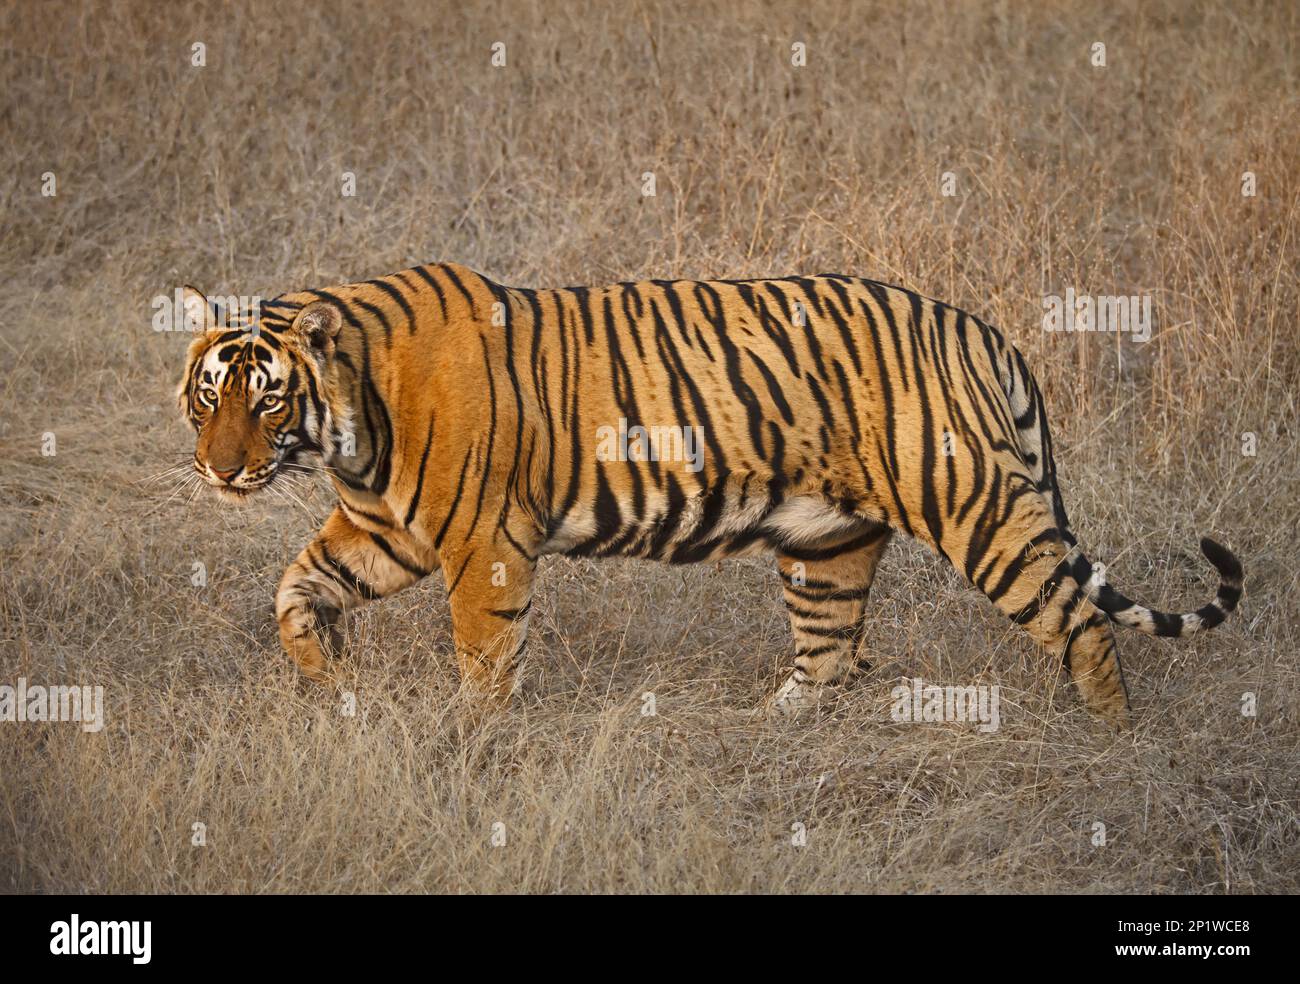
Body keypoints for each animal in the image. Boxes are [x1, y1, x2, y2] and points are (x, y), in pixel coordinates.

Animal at [176, 263, 1242, 725]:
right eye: (209, 394)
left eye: (268, 399)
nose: (222, 470)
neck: (347, 427)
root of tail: (980, 327)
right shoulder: (384, 530)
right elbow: (292, 591)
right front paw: (327, 675)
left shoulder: (480, 543)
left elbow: (483, 655)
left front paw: (475, 742)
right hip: (827, 541)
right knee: (826, 656)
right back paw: (770, 733)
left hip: (978, 509)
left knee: (1082, 623)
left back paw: (1109, 744)